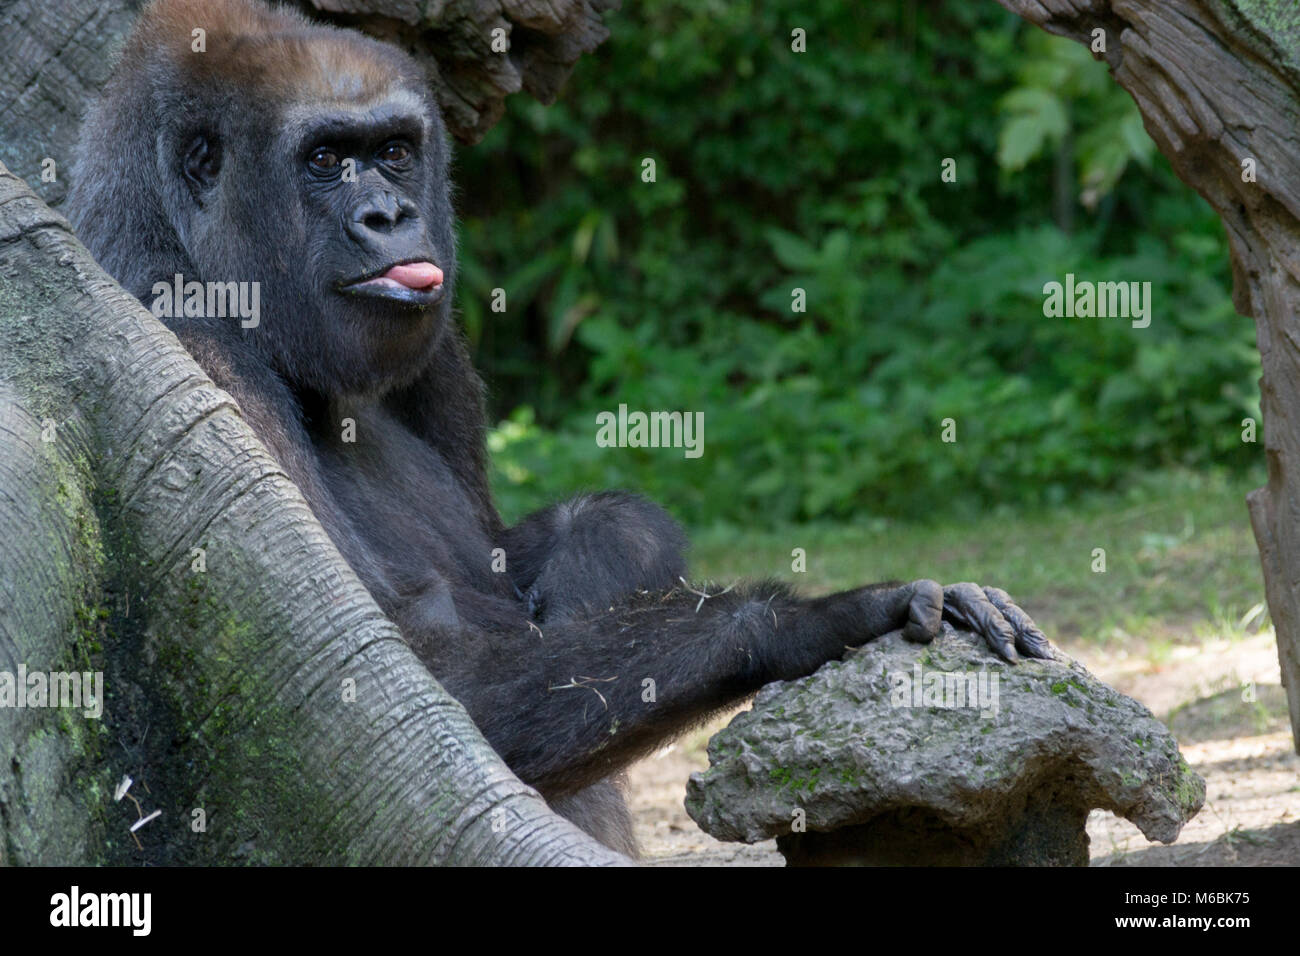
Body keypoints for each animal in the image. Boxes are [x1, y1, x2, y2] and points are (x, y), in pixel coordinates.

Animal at [68, 0, 1052, 859]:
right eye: (323, 160)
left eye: (392, 152)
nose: (390, 216)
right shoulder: (187, 335)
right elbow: (419, 679)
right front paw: (813, 619)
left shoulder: (440, 351)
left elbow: (530, 547)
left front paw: (611, 546)